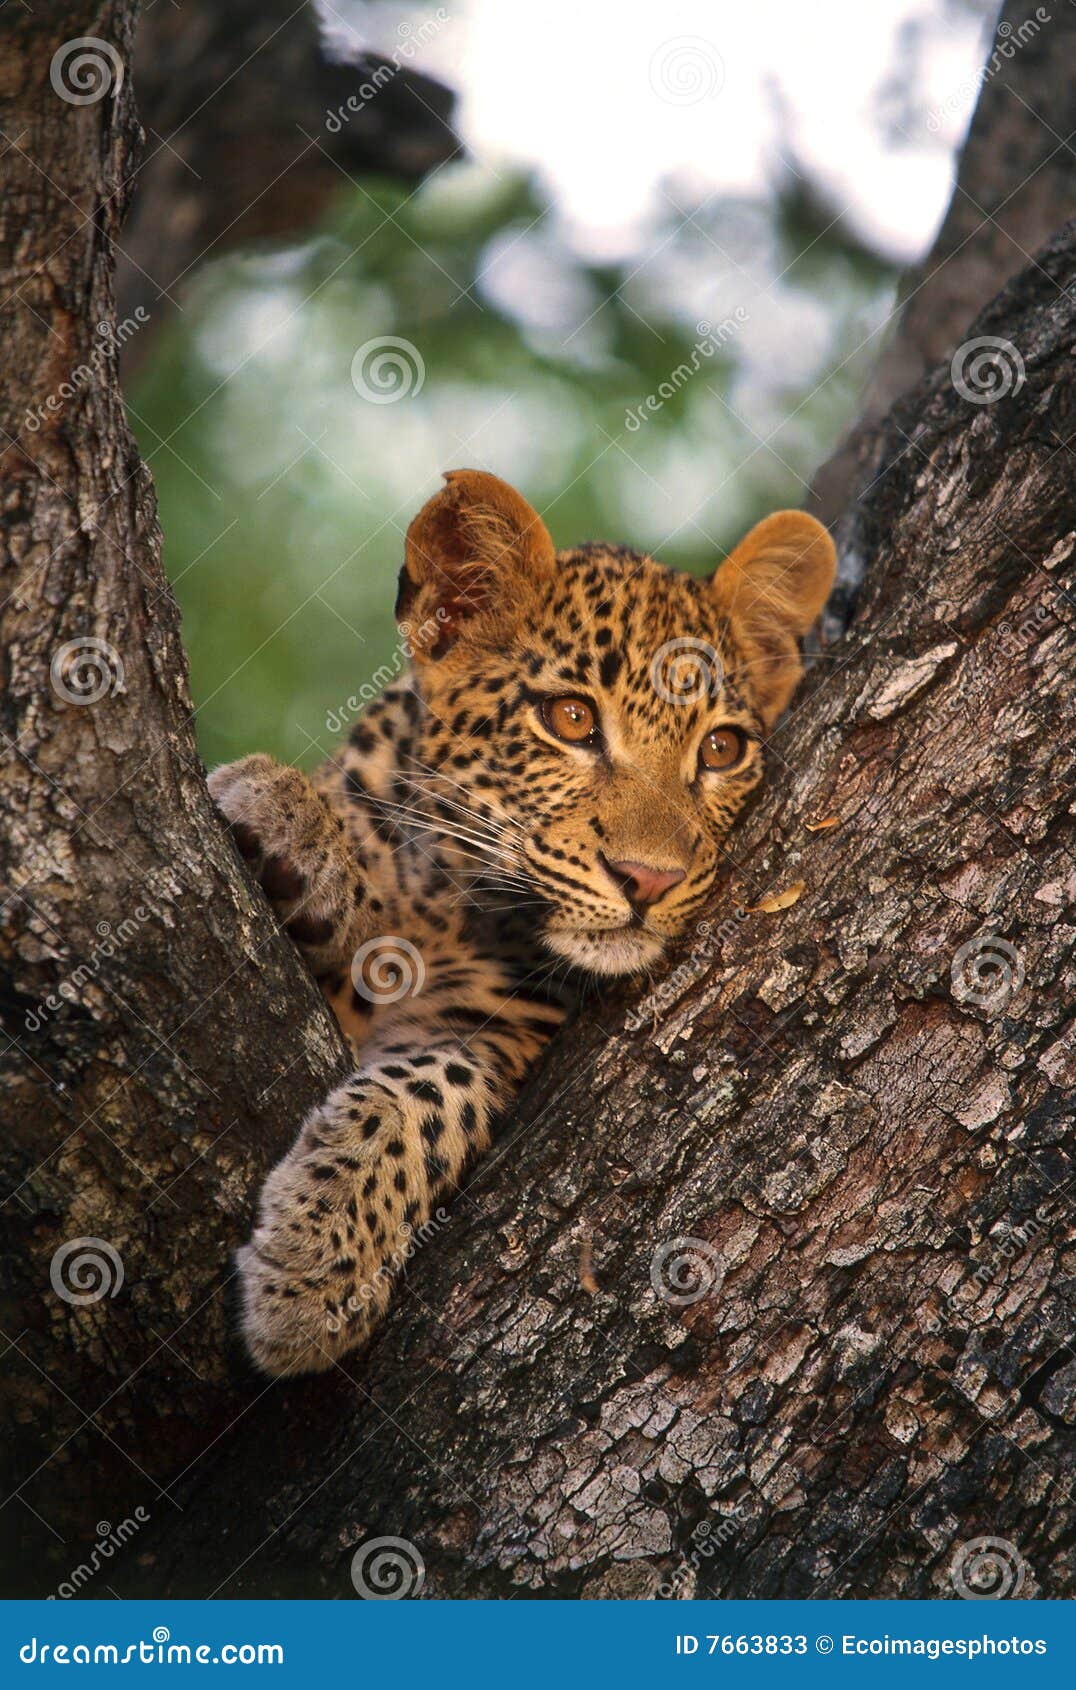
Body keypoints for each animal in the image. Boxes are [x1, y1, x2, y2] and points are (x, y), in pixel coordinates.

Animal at [208, 469, 835, 1376]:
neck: (453, 902)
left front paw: (313, 1272)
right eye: (571, 719)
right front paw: (297, 824)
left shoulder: (506, 1025)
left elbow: (431, 1092)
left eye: (721, 750)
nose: (649, 878)